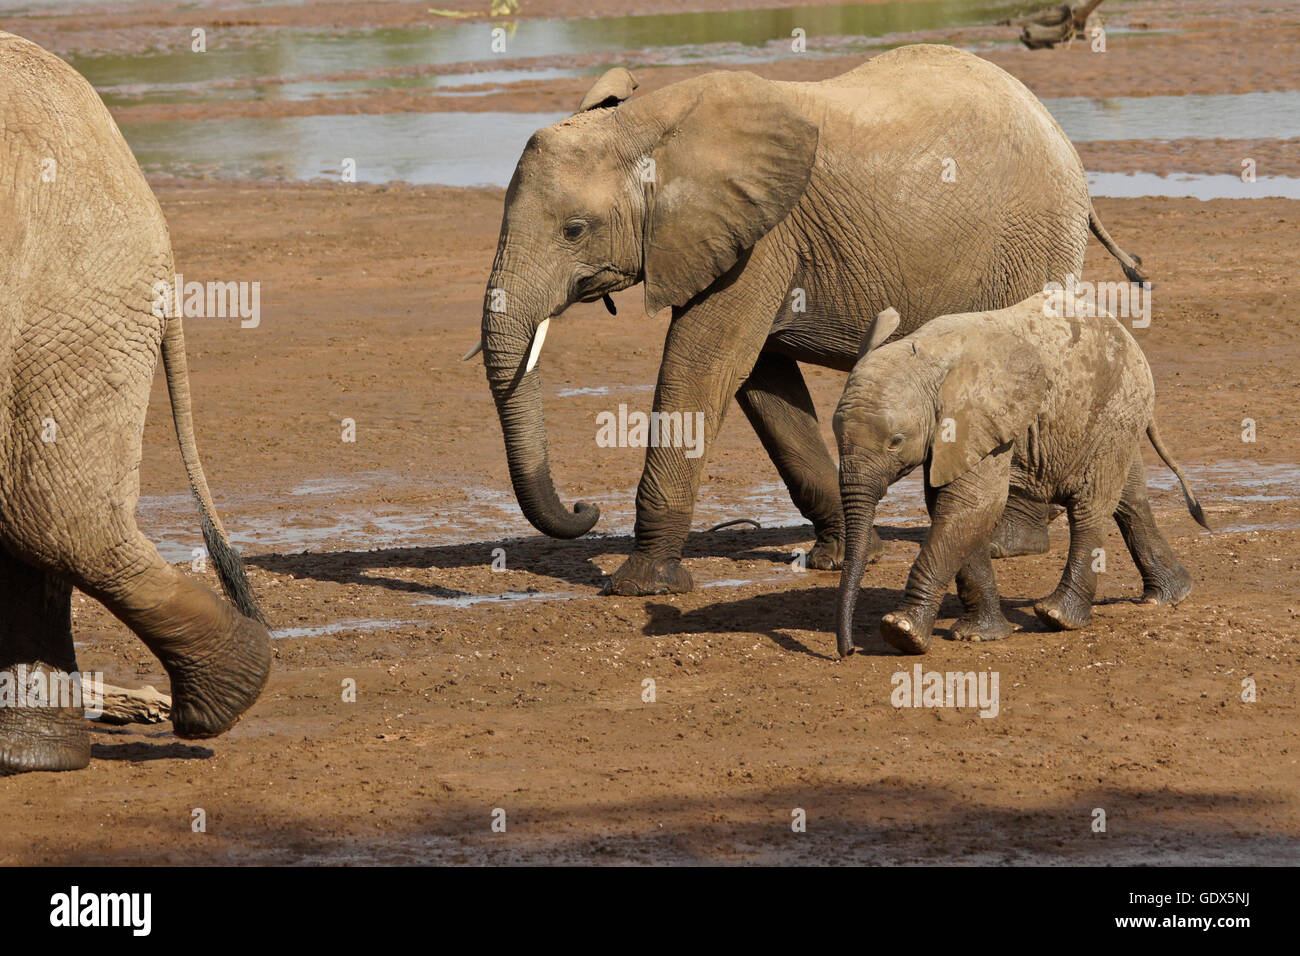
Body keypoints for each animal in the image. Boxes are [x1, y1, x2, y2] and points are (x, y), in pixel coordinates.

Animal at [467, 43, 1153, 597]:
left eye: (574, 229)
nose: (585, 508)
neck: (645, 124)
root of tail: (1054, 123)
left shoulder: (762, 239)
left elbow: (702, 363)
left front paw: (640, 585)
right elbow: (760, 381)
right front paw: (844, 554)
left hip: (1038, 238)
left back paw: (1011, 544)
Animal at [833, 295, 1210, 658]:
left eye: (896, 441)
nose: (846, 651)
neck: (924, 355)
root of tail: (1130, 338)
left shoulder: (983, 419)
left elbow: (972, 504)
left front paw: (901, 633)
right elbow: (958, 509)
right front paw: (979, 635)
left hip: (1116, 407)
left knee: (1090, 507)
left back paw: (1058, 617)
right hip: (1114, 418)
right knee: (1129, 498)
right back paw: (1168, 596)